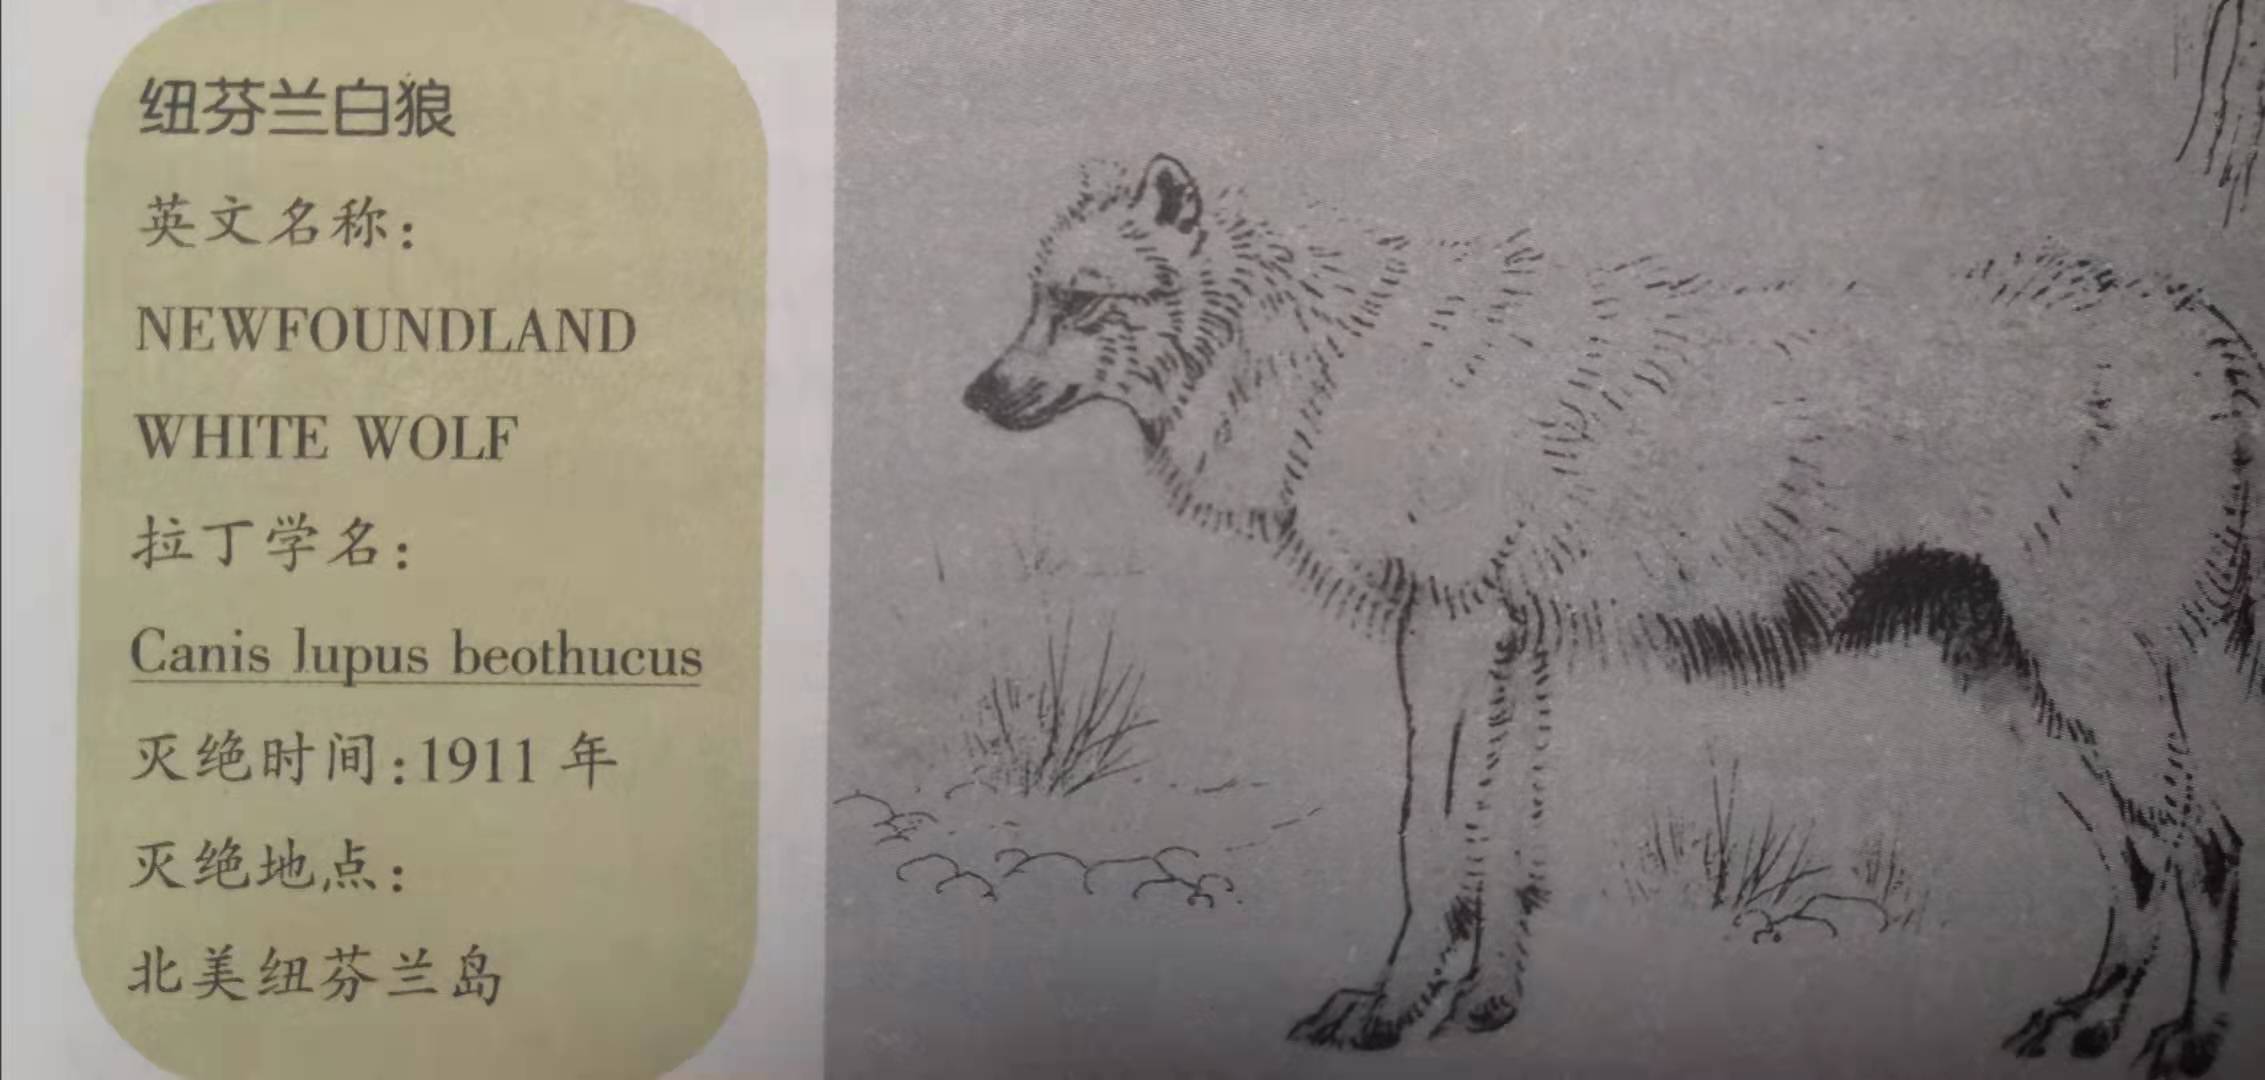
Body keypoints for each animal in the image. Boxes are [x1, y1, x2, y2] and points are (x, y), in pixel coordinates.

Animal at [961, 154, 2260, 1076]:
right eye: (1033, 297)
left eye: (1082, 300)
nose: (975, 393)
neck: (1333, 359)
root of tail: (2205, 329)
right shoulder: (1512, 648)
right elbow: (1505, 849)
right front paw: (1483, 1007)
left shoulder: (1444, 635)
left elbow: (1429, 840)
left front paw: (1387, 1012)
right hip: (2013, 686)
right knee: (2135, 852)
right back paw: (2086, 1022)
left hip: (2088, 677)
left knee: (2205, 842)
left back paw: (2189, 1043)